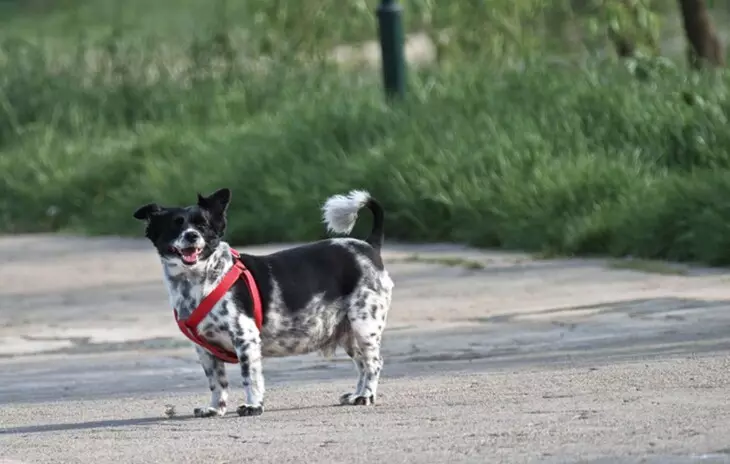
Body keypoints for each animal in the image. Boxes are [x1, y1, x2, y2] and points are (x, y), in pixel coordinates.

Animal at [131, 188, 392, 416]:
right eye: (175, 225)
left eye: (203, 226)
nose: (192, 235)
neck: (199, 282)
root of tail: (369, 245)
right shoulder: (205, 349)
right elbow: (217, 382)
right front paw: (215, 408)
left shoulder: (245, 338)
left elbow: (250, 378)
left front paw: (253, 406)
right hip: (348, 333)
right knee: (362, 364)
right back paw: (357, 394)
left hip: (364, 326)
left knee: (374, 363)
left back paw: (366, 395)